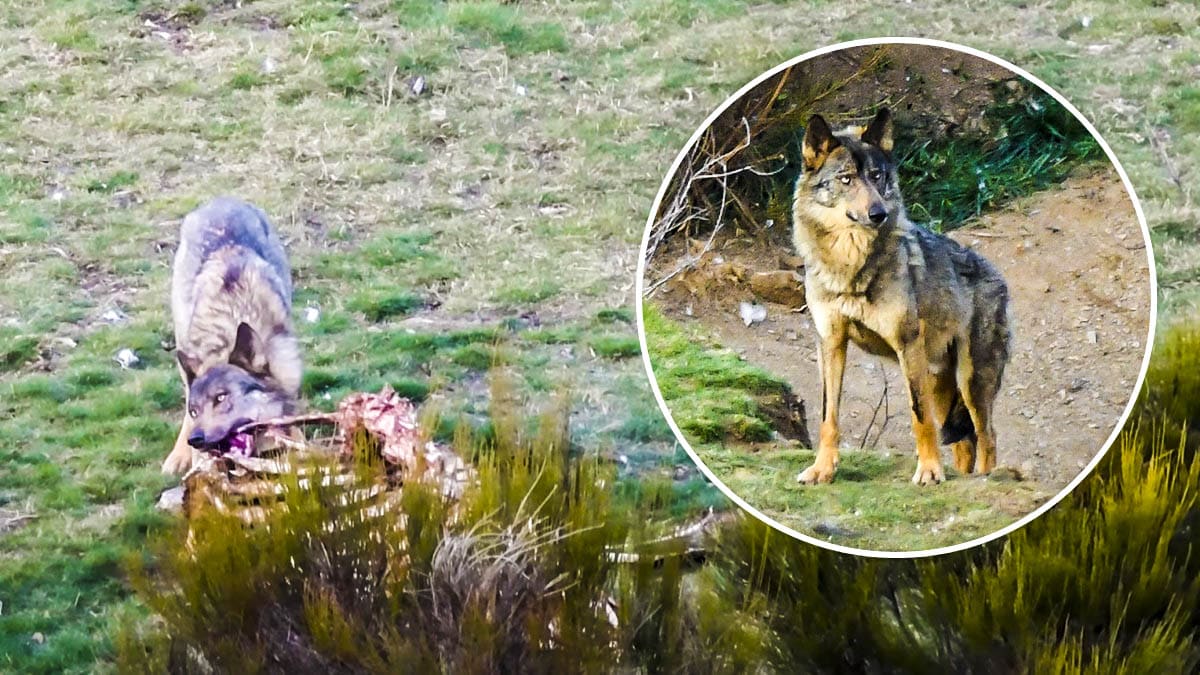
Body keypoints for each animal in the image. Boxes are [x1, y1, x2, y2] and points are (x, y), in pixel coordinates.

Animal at [791, 108, 1012, 486]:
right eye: (847, 179)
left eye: (877, 176)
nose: (878, 213)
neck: (851, 268)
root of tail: (997, 276)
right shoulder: (831, 344)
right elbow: (827, 417)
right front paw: (822, 470)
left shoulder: (906, 345)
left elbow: (918, 418)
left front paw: (929, 471)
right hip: (942, 387)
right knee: (965, 444)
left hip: (971, 382)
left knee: (988, 437)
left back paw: (982, 478)